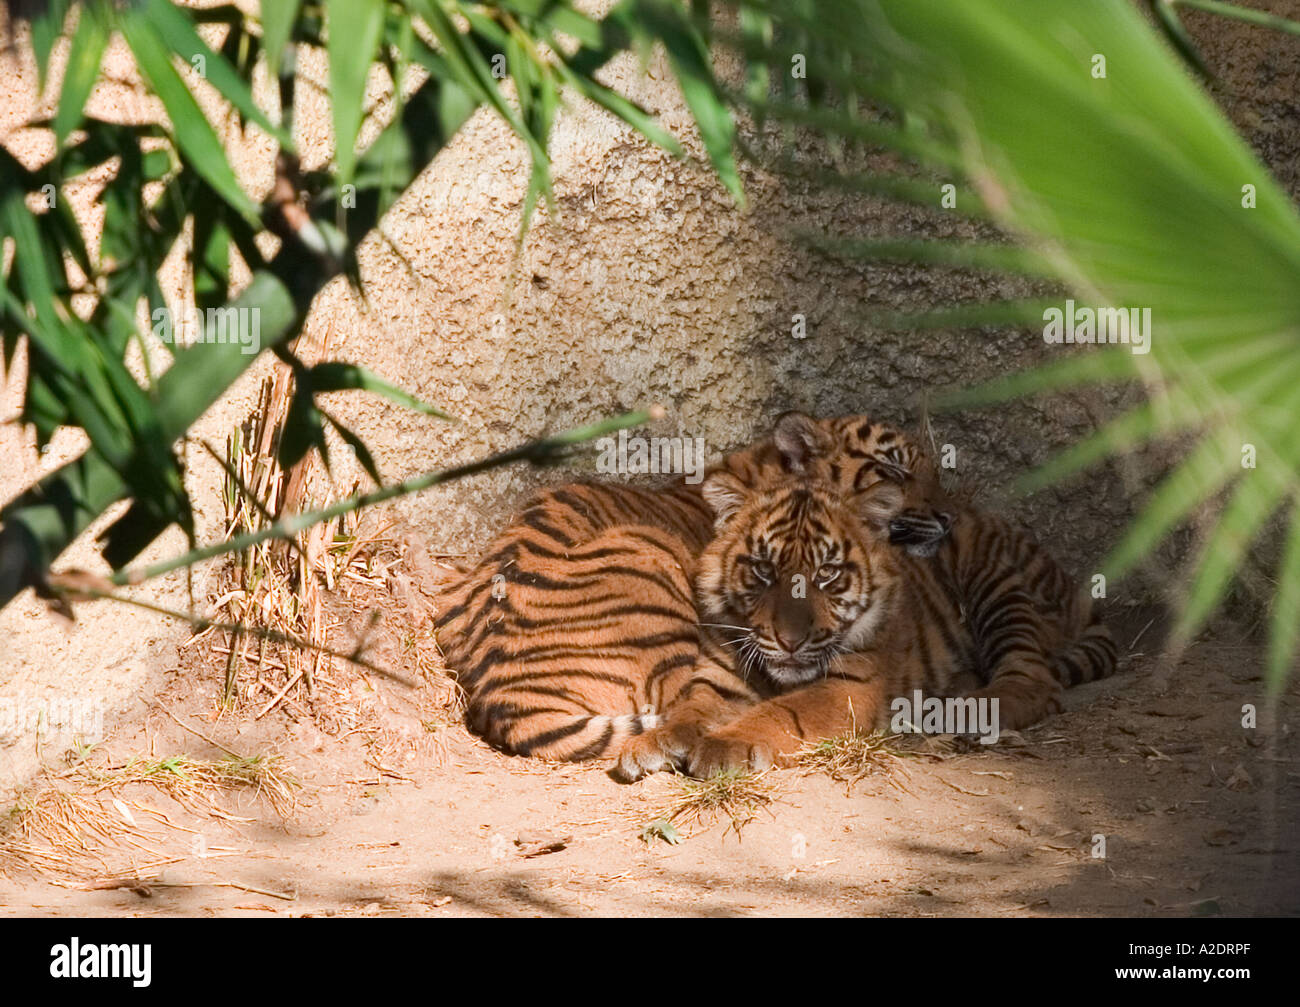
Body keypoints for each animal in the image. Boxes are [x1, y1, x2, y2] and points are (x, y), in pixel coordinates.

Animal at [633, 452, 1117, 779]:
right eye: (764, 569)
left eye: (826, 573)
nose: (790, 640)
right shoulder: (718, 677)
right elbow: (688, 710)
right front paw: (649, 743)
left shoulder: (851, 686)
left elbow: (782, 710)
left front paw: (724, 745)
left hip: (995, 583)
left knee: (1036, 682)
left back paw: (963, 712)